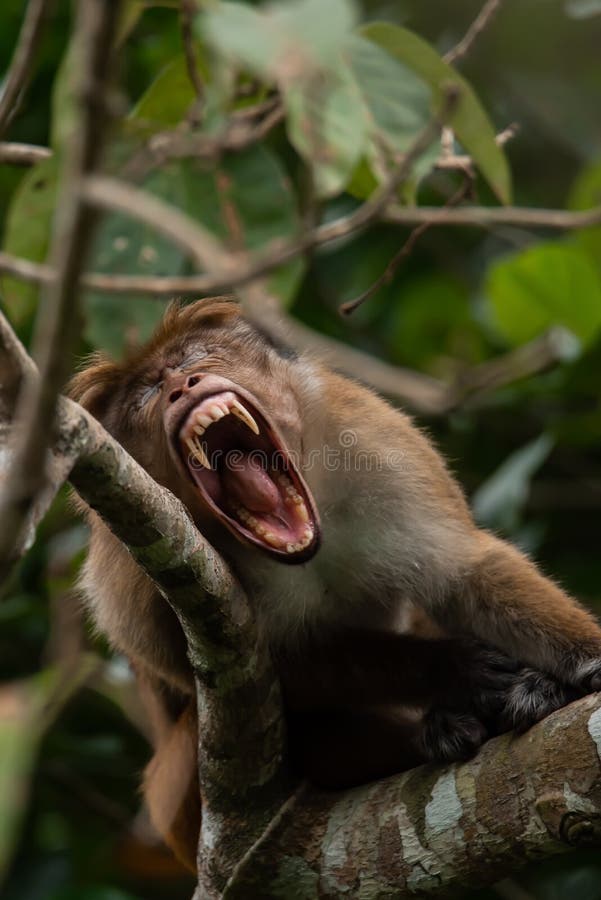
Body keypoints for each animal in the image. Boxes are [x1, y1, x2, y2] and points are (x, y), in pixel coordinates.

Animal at [68, 297, 601, 871]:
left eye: (194, 358)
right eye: (146, 394)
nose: (182, 385)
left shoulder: (372, 438)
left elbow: (463, 575)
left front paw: (582, 659)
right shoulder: (133, 574)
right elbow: (265, 674)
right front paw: (458, 669)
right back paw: (433, 733)